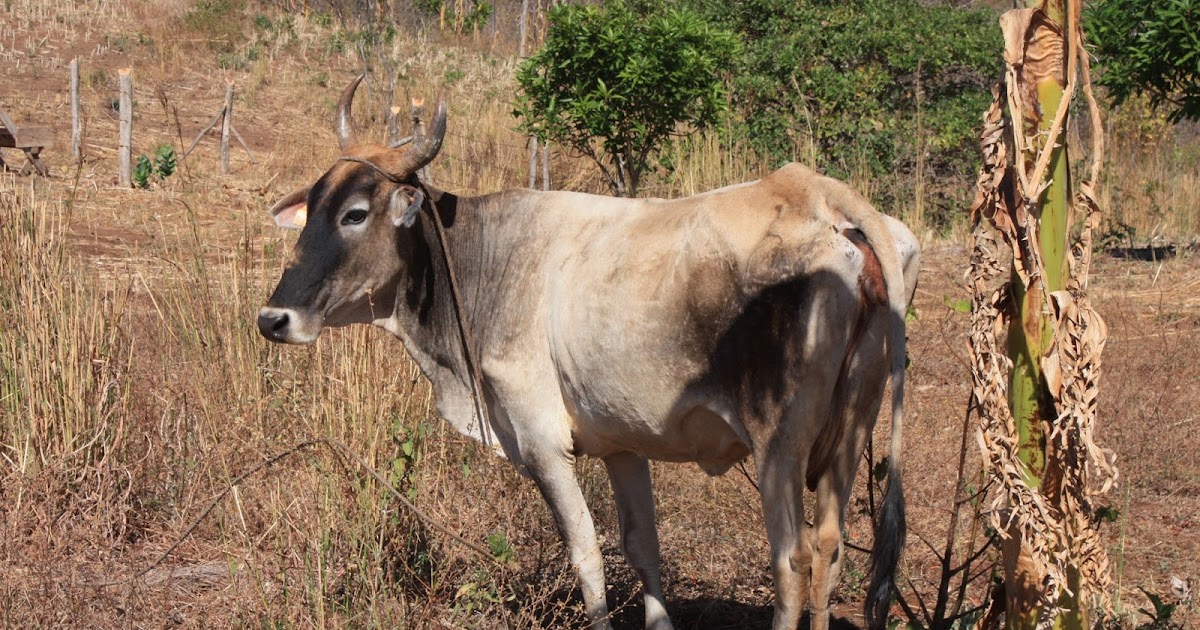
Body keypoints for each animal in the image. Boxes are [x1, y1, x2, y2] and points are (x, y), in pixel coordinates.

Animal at [258, 75, 920, 630]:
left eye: (355, 214)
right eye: (312, 211)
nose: (273, 319)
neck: (484, 263)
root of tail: (813, 191)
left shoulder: (542, 443)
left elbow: (586, 555)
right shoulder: (623, 444)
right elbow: (642, 548)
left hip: (777, 446)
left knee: (792, 560)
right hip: (851, 430)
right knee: (830, 545)